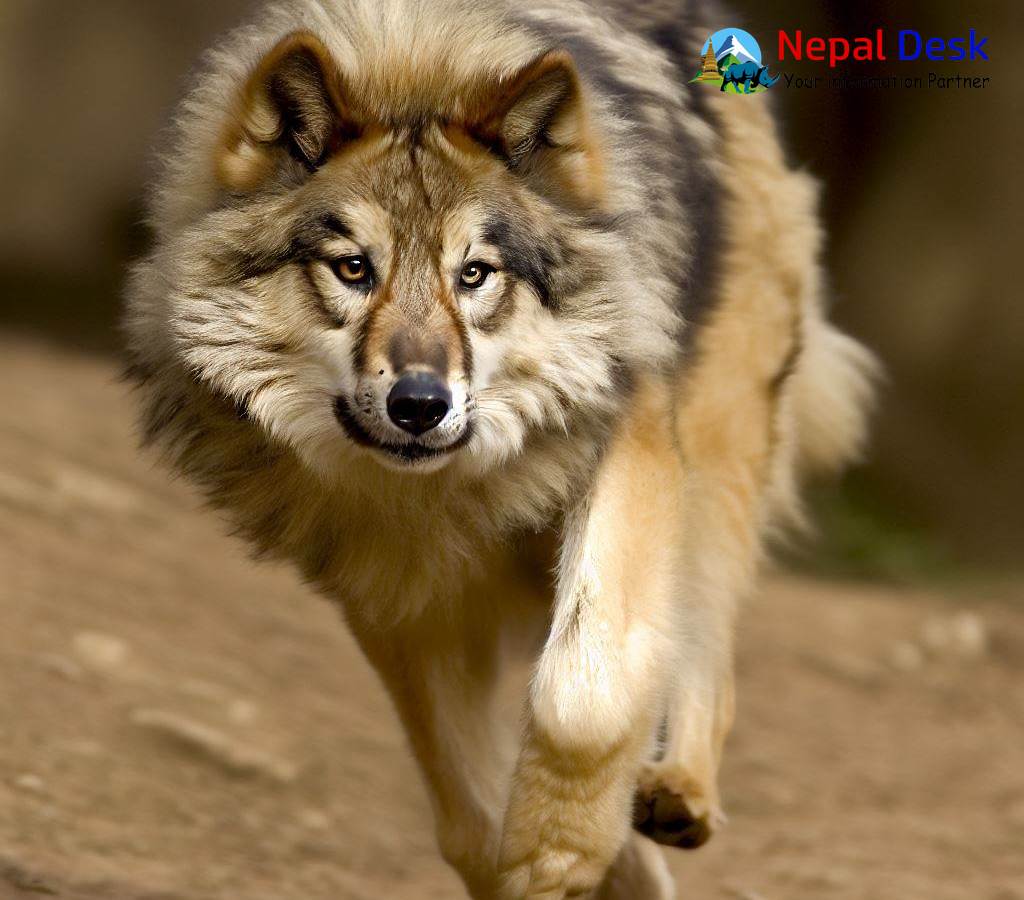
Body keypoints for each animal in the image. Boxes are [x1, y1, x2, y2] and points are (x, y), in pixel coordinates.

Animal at [124, 0, 877, 896]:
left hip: (713, 454)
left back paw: (678, 792)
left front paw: (560, 856)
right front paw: (578, 862)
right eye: (353, 269)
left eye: (475, 274)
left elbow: (587, 696)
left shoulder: (626, 447)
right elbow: (466, 814)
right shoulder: (399, 593)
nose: (420, 405)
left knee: (704, 645)